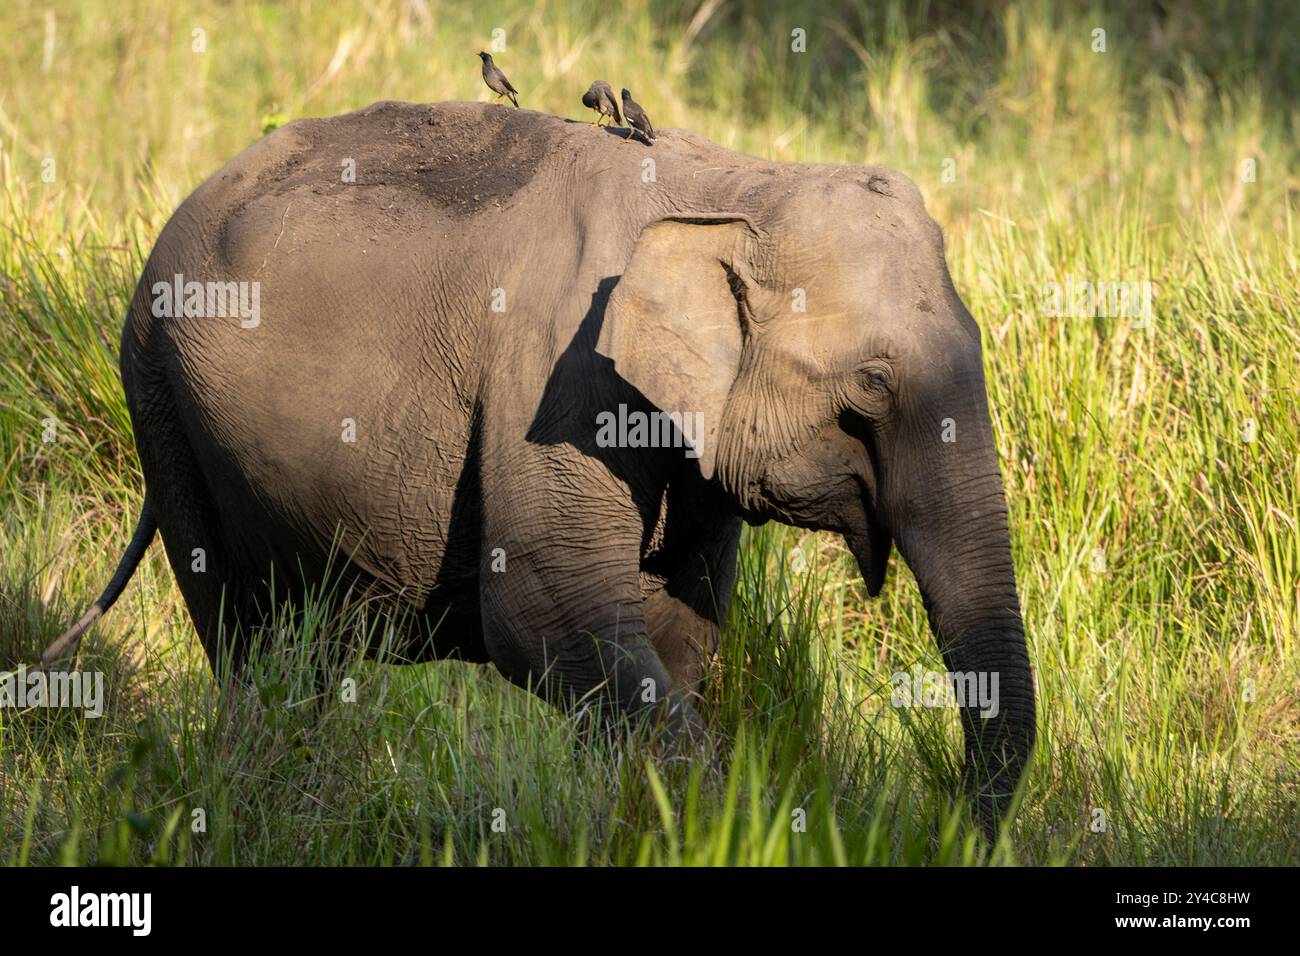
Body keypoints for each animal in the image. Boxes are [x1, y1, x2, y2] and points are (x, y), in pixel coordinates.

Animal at [47, 100, 1035, 833]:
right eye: (871, 388)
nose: (948, 822)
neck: (737, 181)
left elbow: (674, 625)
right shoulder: (559, 379)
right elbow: (545, 613)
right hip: (163, 403)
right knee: (249, 640)